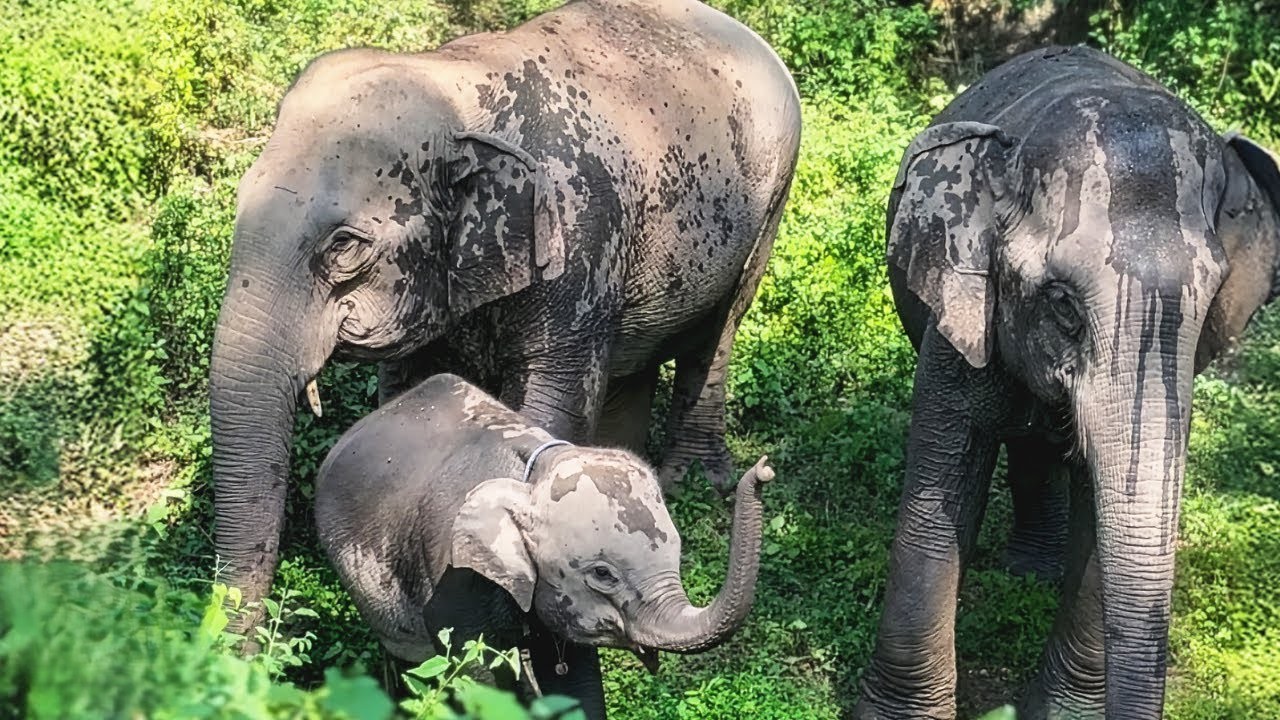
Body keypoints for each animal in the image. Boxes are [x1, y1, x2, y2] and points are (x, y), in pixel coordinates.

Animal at [207, 0, 801, 637]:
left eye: (343, 244)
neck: (451, 86)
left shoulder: (578, 240)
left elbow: (552, 399)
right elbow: (416, 390)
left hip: (769, 201)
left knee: (716, 332)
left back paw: (689, 481)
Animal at [314, 373, 774, 718]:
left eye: (677, 556)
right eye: (602, 574)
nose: (764, 467)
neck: (536, 474)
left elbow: (574, 679)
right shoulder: (454, 576)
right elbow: (476, 670)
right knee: (409, 658)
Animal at [854, 46, 1280, 720]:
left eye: (1211, 301)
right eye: (1062, 304)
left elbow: (1100, 511)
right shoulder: (959, 318)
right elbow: (938, 496)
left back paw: (1037, 573)